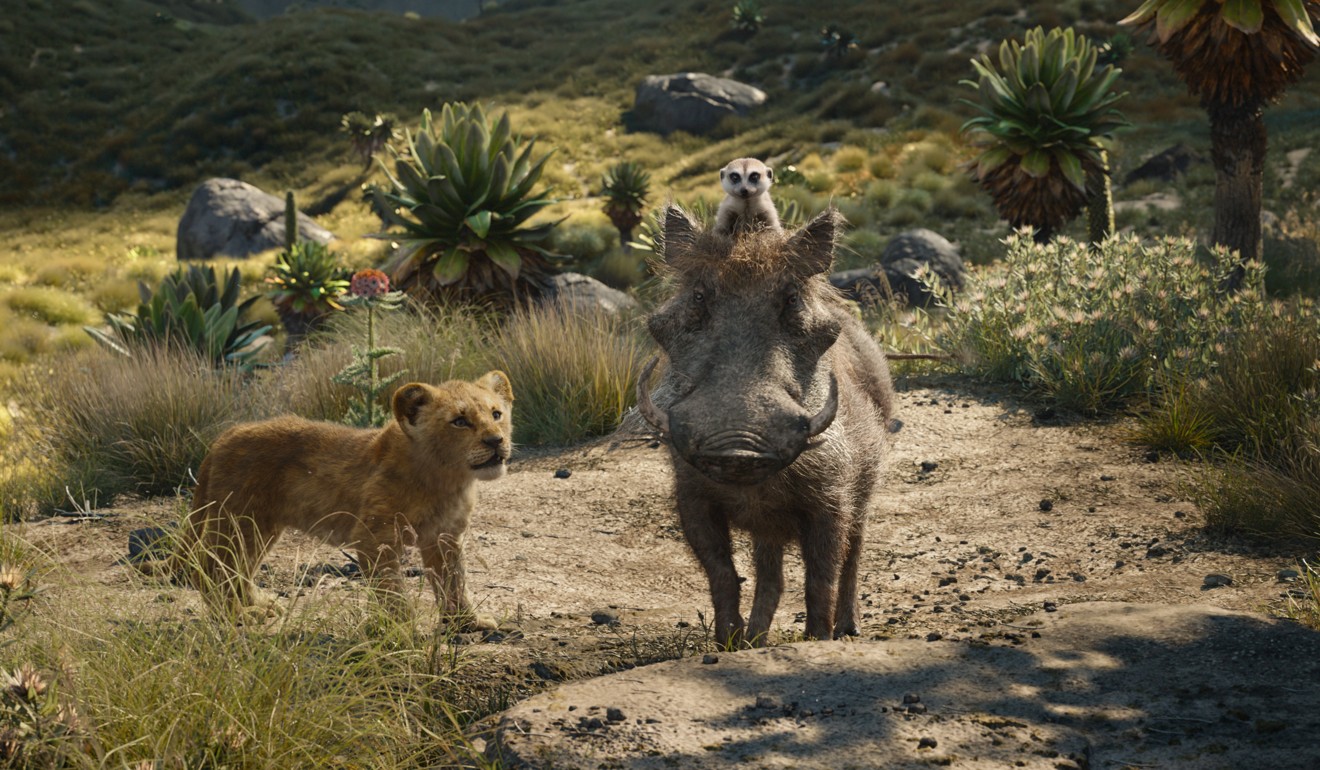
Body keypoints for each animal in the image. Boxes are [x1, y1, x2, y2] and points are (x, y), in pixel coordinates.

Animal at [177, 371, 514, 629]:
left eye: (496, 414)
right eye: (459, 421)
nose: (496, 441)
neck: (447, 480)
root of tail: (225, 436)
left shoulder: (445, 537)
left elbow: (454, 582)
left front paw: (467, 623)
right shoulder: (374, 537)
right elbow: (391, 590)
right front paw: (402, 631)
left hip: (260, 526)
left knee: (240, 568)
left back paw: (259, 603)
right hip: (239, 520)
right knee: (211, 567)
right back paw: (239, 615)